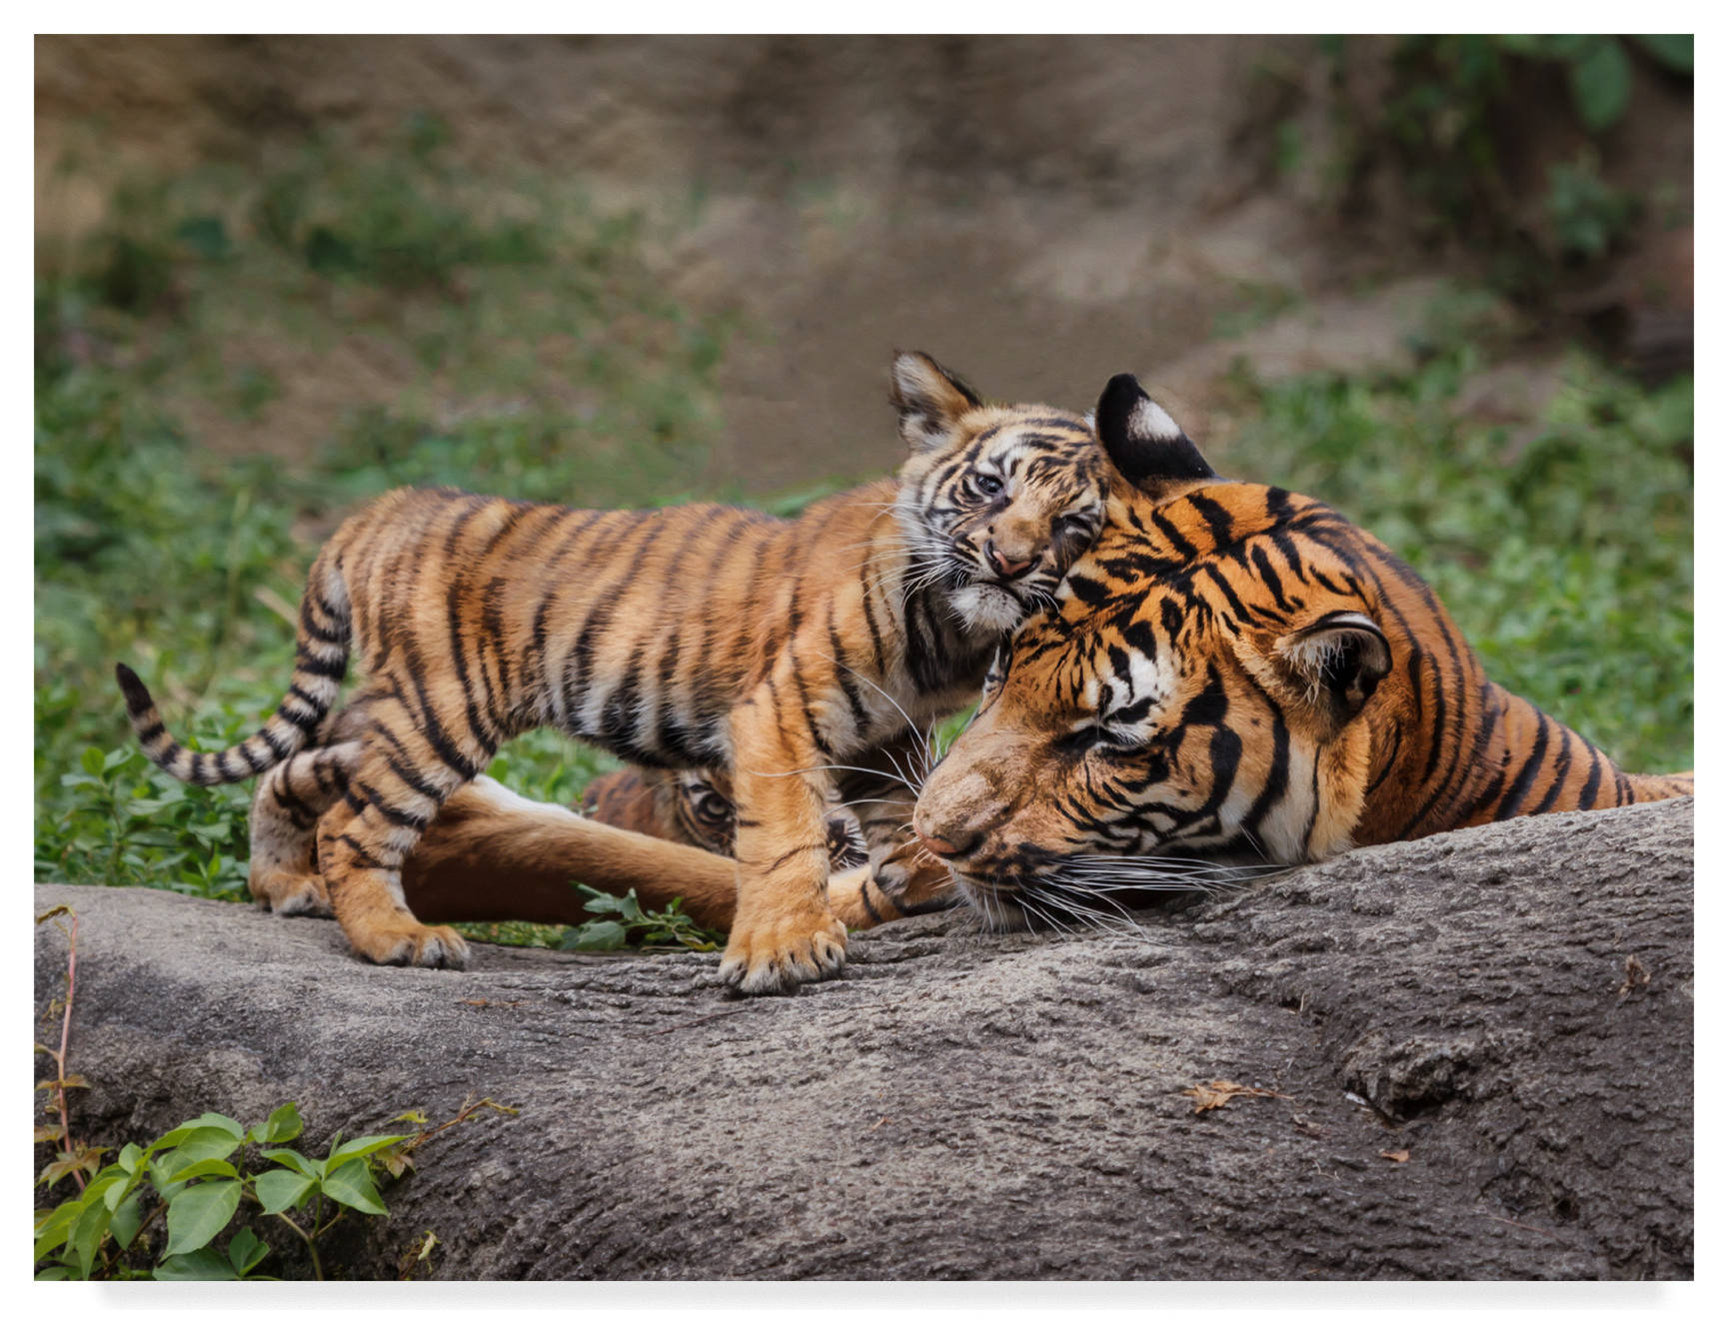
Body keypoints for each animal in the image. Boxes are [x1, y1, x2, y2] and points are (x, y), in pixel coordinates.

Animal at [116, 352, 1107, 993]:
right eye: (990, 487)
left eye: (1075, 524)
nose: (1012, 562)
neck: (956, 632)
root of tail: (387, 504)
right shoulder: (781, 708)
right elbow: (783, 833)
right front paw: (782, 947)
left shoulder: (885, 731)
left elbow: (908, 811)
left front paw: (919, 875)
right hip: (444, 708)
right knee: (358, 823)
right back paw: (398, 938)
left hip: (397, 711)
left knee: (296, 768)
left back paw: (283, 885)